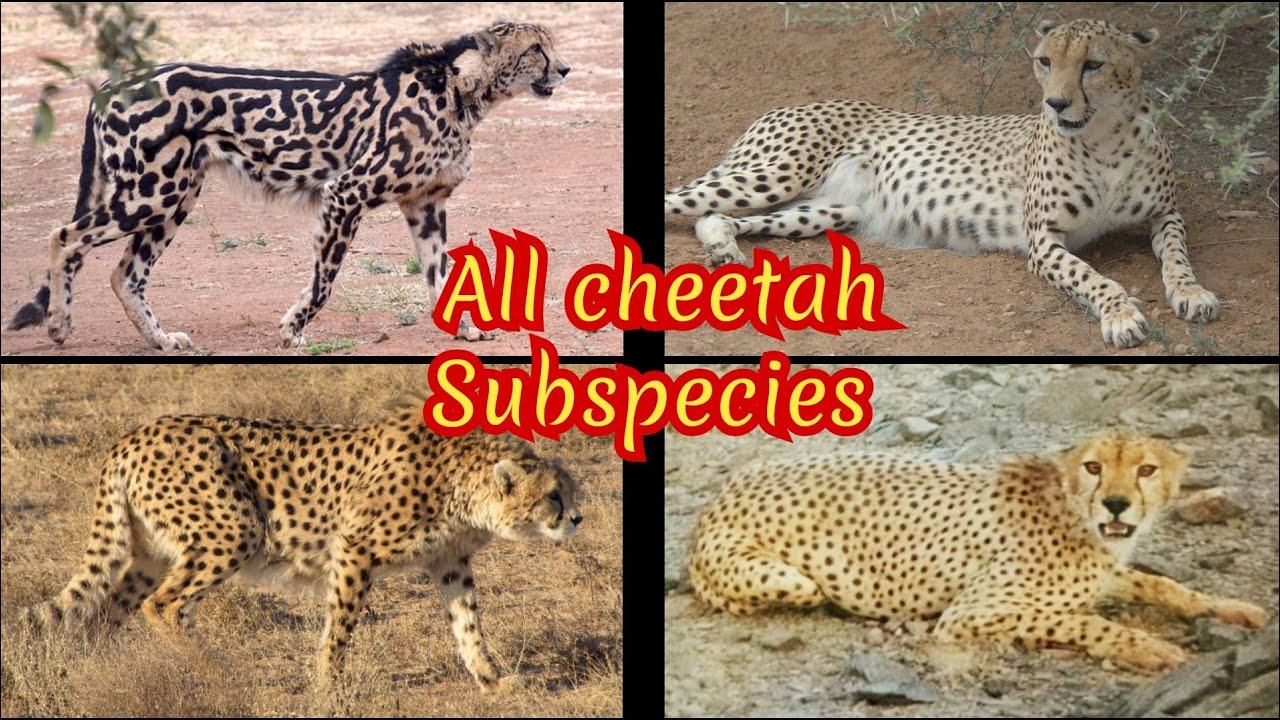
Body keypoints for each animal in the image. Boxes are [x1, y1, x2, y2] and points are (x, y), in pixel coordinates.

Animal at [4, 21, 569, 351]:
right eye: (536, 49)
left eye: (551, 46)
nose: (565, 69)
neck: (455, 86)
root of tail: (112, 82)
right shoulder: (346, 192)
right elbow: (324, 281)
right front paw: (293, 327)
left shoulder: (425, 204)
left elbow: (442, 276)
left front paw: (465, 330)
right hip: (149, 194)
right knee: (64, 237)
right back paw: (58, 325)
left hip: (174, 196)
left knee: (125, 274)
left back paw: (161, 339)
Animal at [22, 401, 584, 691]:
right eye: (553, 496)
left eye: (572, 490)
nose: (577, 518)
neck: (464, 484)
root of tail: (135, 434)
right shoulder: (354, 546)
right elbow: (341, 625)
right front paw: (329, 685)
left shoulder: (450, 562)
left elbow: (468, 625)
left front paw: (491, 679)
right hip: (235, 530)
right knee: (163, 605)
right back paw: (220, 672)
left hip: (150, 553)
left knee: (107, 610)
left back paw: (99, 673)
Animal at [664, 19, 1220, 348]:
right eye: (1045, 61)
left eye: (1094, 64)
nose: (1056, 103)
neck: (1103, 135)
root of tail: (788, 104)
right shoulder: (1043, 242)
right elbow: (1092, 277)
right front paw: (1120, 313)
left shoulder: (1166, 212)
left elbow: (1176, 253)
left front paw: (1191, 292)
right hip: (774, 174)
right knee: (683, 200)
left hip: (827, 208)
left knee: (716, 217)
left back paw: (723, 251)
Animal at [687, 433, 1268, 671]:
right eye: (1094, 466)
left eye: (1147, 468)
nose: (1118, 504)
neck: (1074, 514)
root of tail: (721, 495)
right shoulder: (970, 614)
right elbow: (1083, 621)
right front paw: (1149, 647)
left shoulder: (1108, 570)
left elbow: (1162, 583)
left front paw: (1229, 607)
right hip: (797, 580)